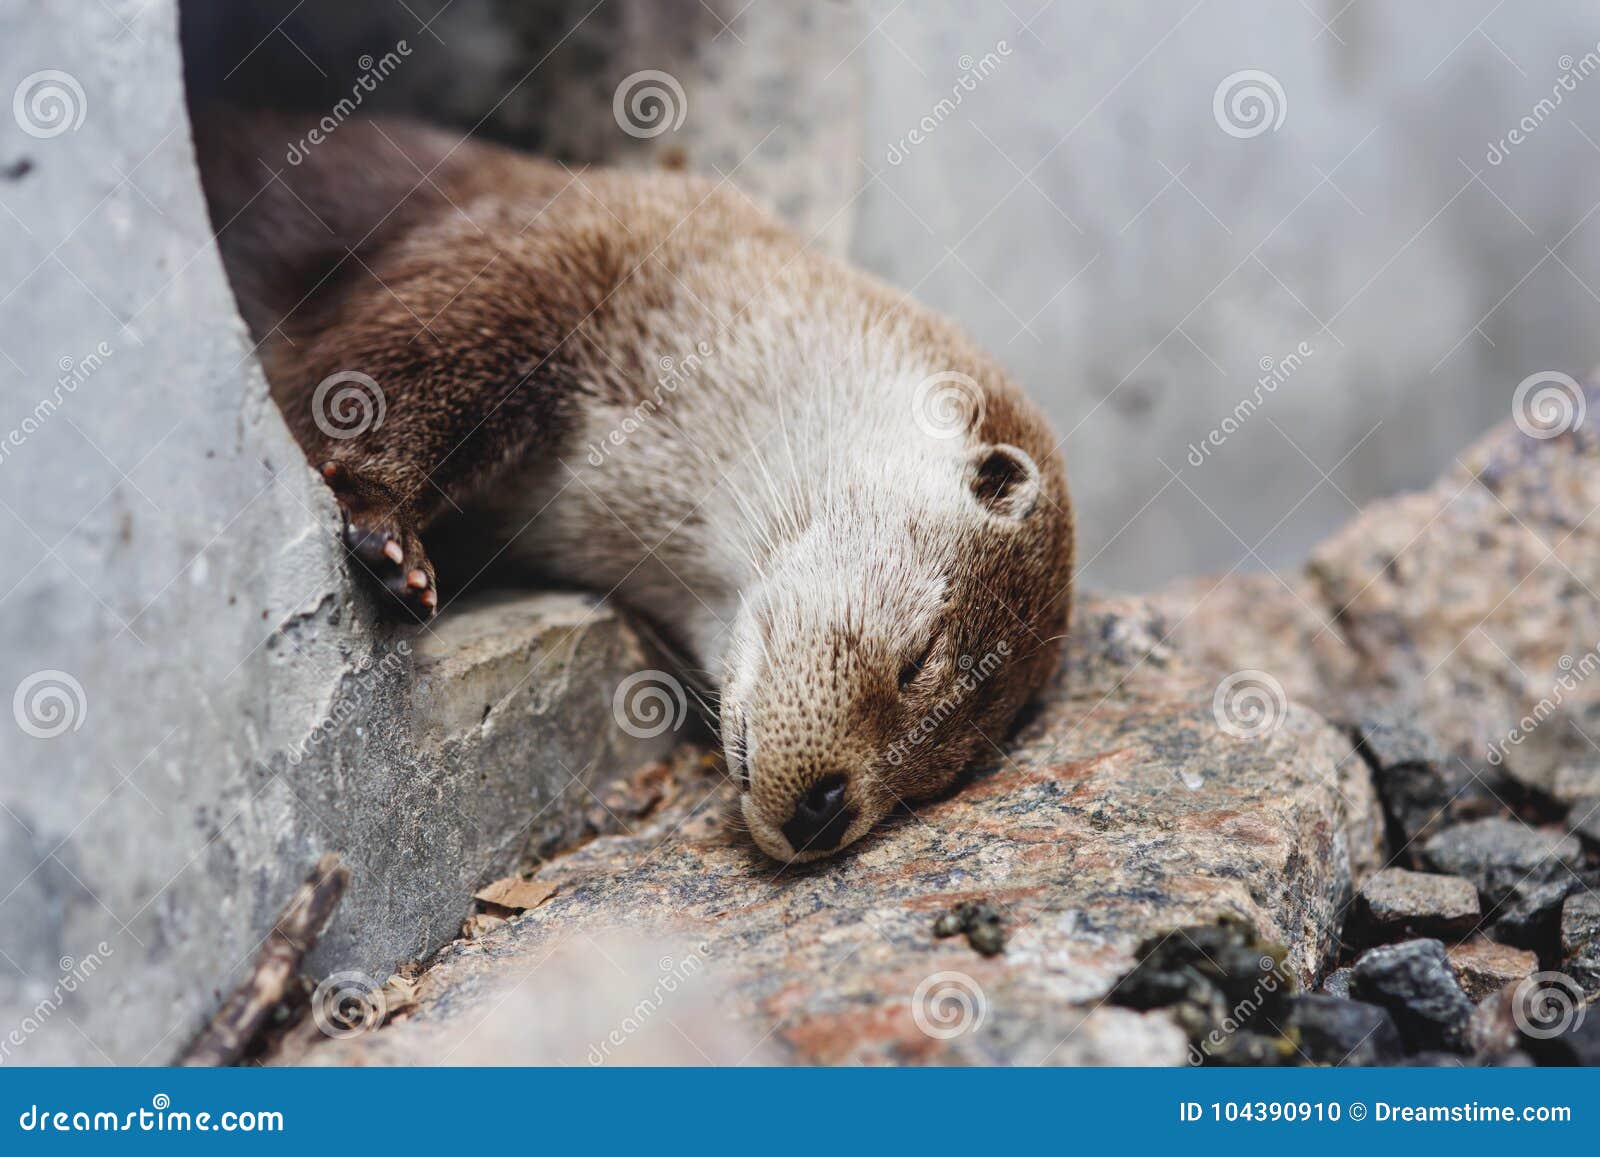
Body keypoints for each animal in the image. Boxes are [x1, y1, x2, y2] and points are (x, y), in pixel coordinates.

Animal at [194, 111, 1074, 862]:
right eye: (918, 660)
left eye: (948, 769)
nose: (825, 813)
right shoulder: (527, 262)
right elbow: (376, 373)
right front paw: (385, 529)